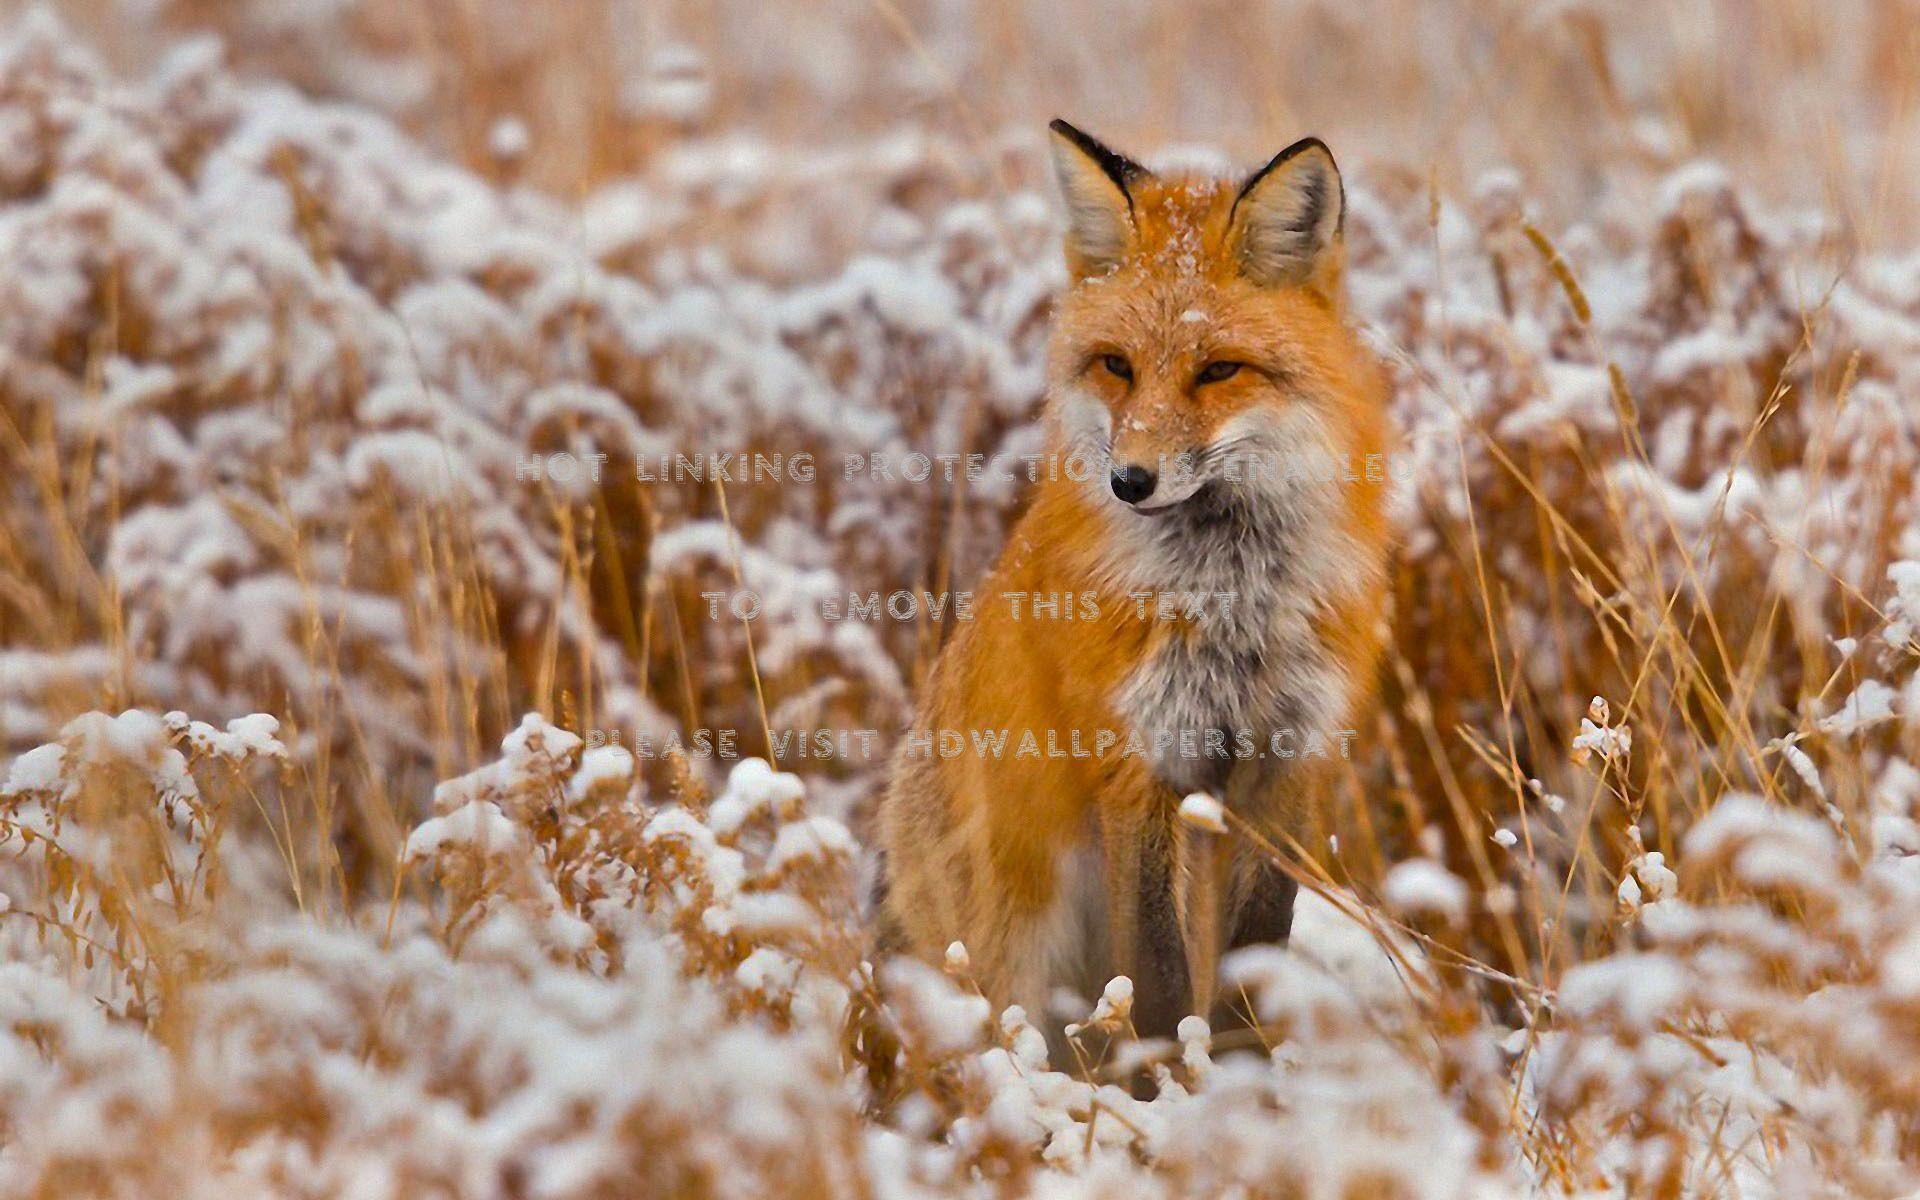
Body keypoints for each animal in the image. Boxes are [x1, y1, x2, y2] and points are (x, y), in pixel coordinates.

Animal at [875, 120, 1395, 1036]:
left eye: (1219, 370)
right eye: (1116, 365)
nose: (1131, 480)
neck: (1233, 598)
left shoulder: (1288, 759)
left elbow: (1254, 953)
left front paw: (1241, 1066)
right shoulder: (1138, 761)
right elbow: (1153, 976)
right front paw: (1164, 1068)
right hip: (1016, 943)